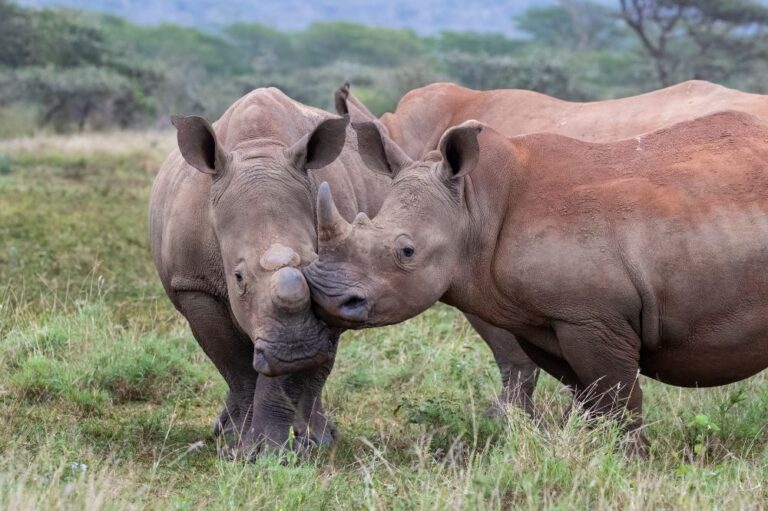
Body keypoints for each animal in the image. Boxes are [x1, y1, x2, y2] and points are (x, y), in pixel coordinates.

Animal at [304, 111, 768, 452]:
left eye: (407, 252)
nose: (329, 299)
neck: (475, 205)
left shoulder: (592, 317)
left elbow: (618, 398)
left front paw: (630, 461)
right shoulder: (543, 319)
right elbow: (589, 396)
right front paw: (587, 450)